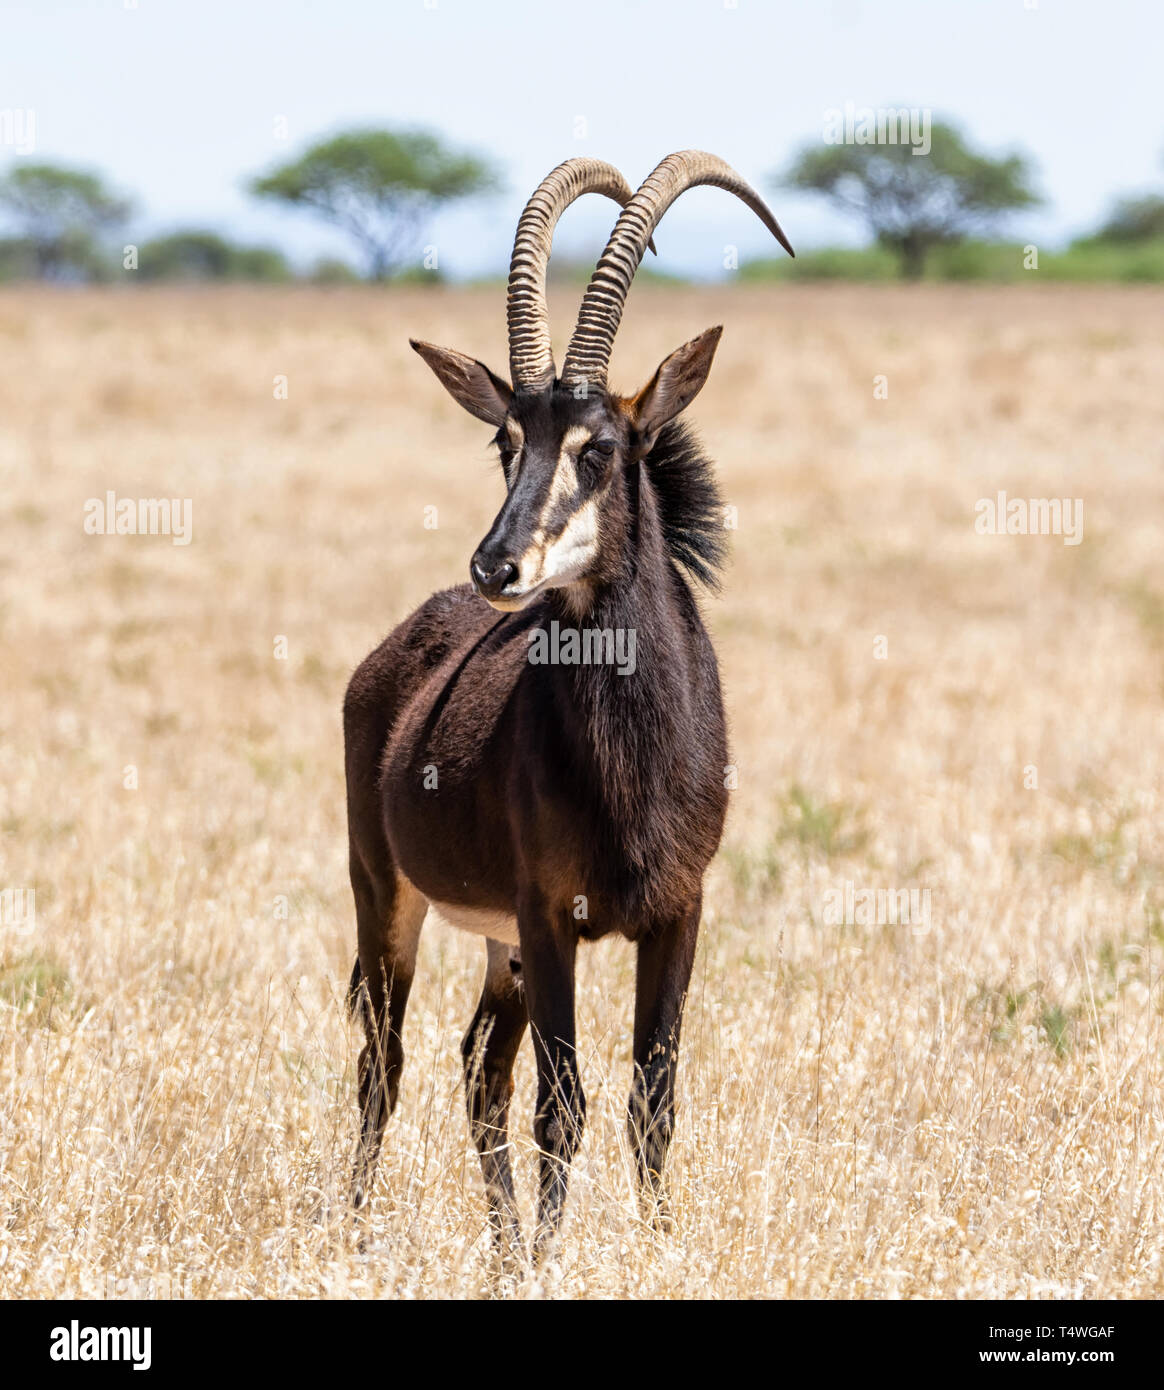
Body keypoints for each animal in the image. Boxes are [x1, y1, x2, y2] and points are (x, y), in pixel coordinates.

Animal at [344, 151, 793, 1261]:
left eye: (597, 448)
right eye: (507, 443)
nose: (498, 565)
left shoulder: (678, 914)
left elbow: (651, 1101)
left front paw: (655, 1247)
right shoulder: (550, 920)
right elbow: (566, 1103)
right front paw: (555, 1257)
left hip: (496, 944)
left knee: (477, 1068)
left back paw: (501, 1249)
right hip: (388, 896)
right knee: (387, 1061)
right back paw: (355, 1234)